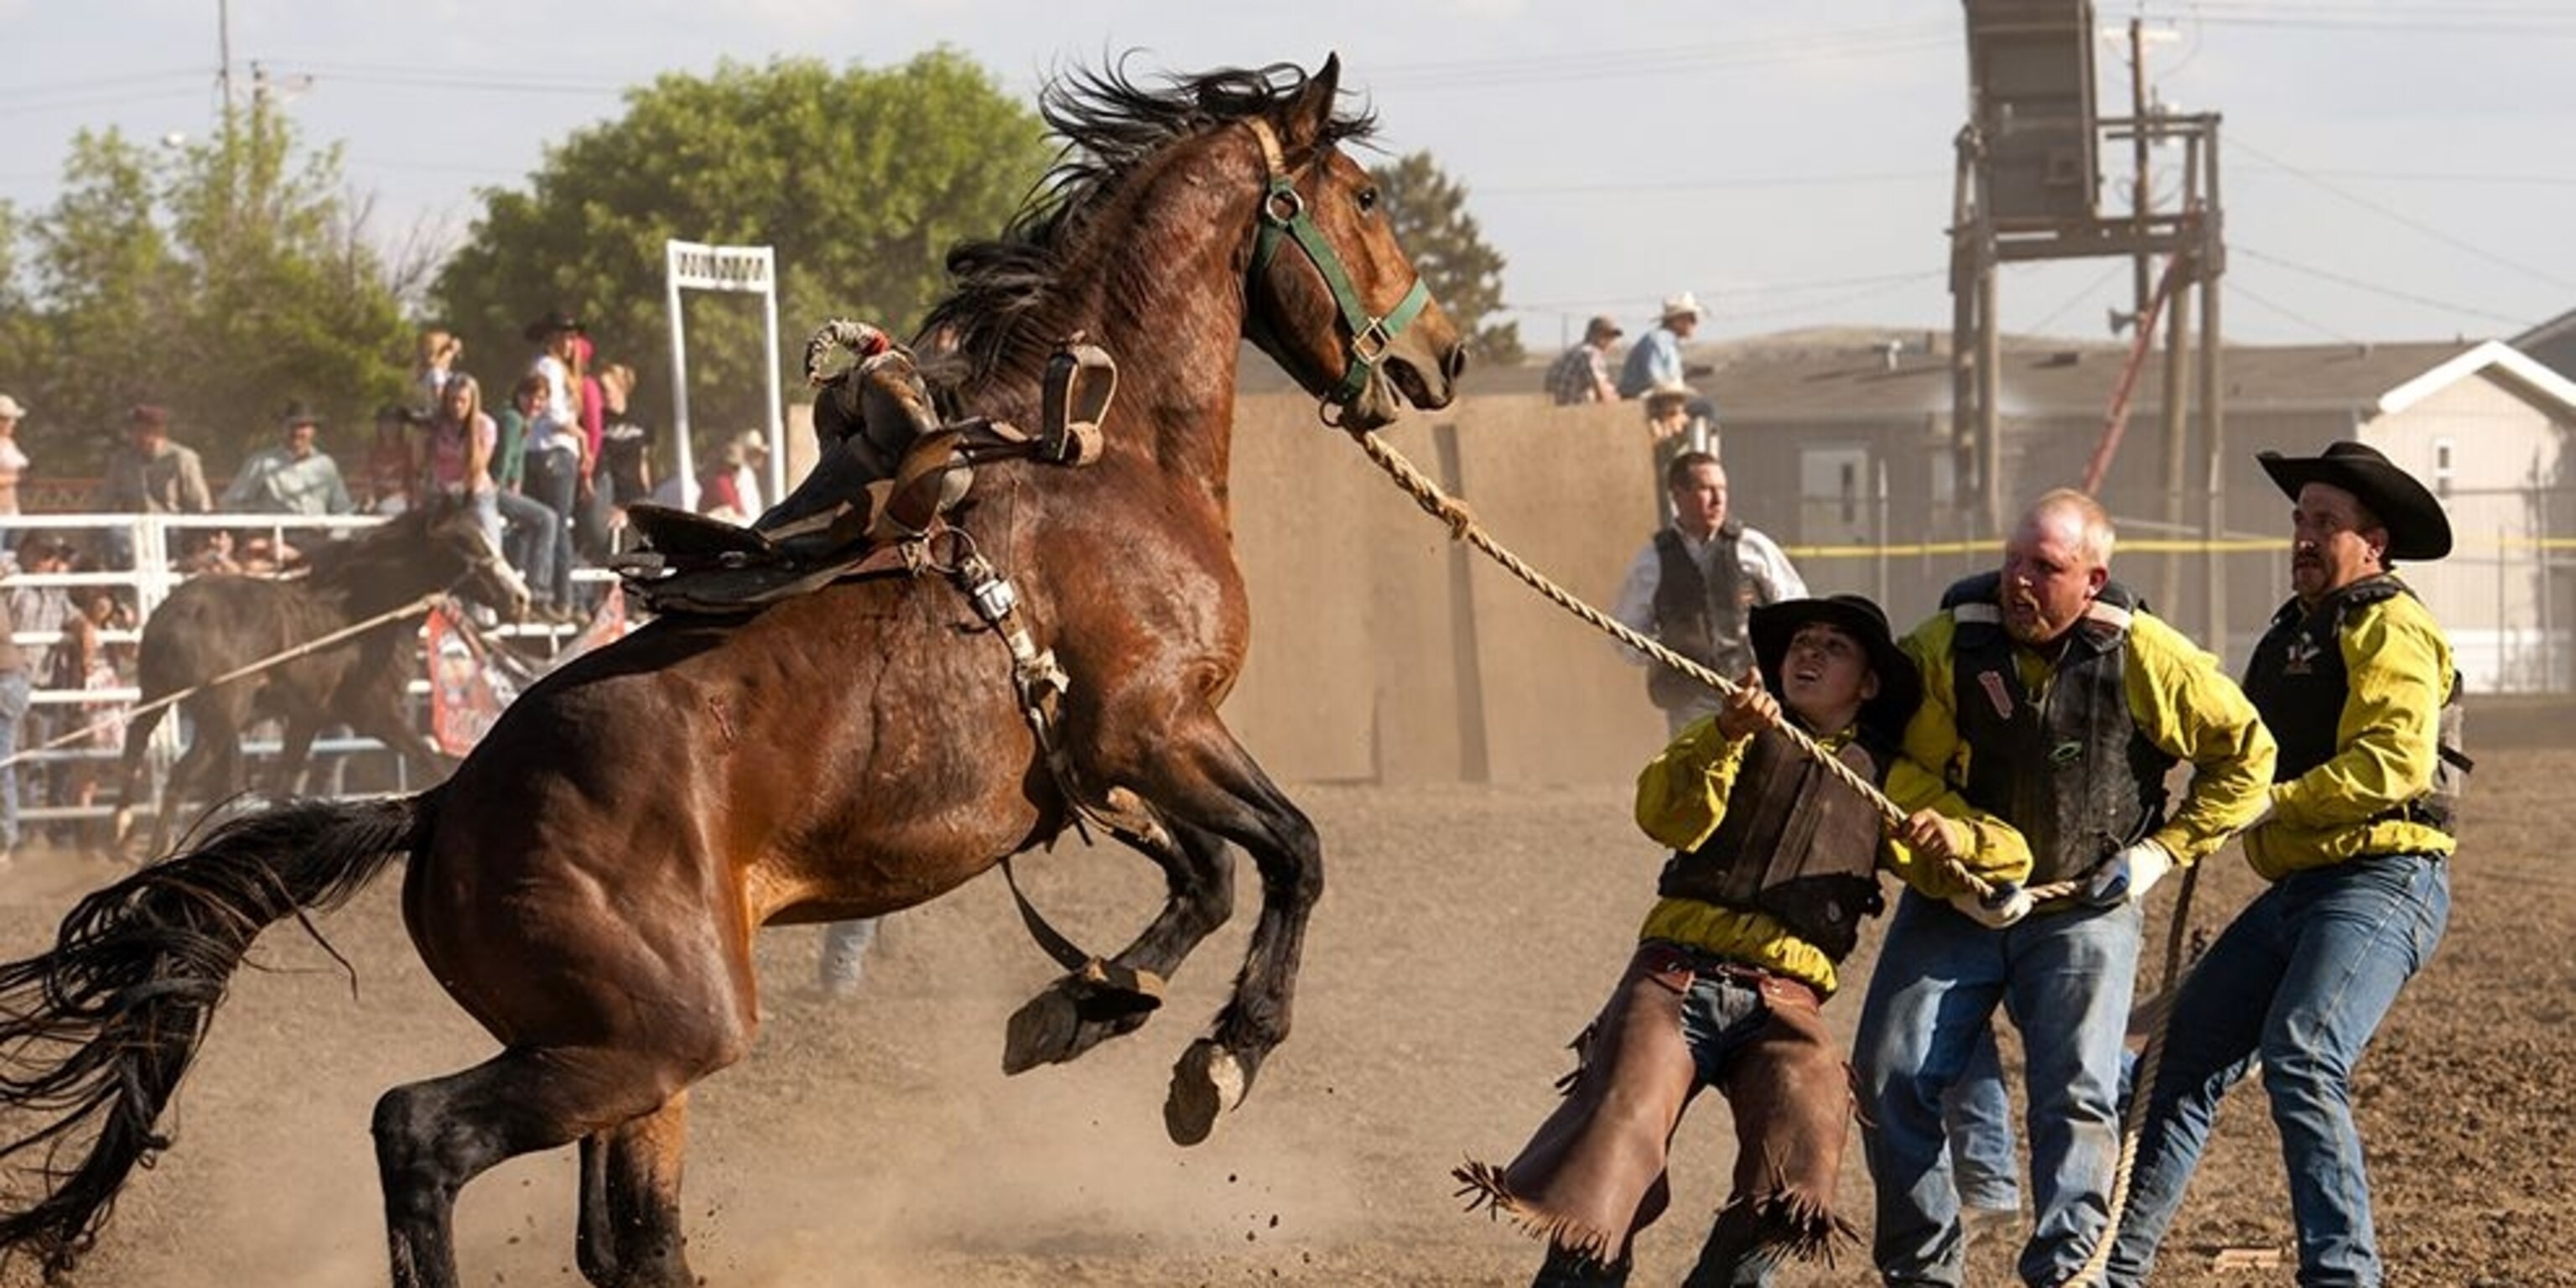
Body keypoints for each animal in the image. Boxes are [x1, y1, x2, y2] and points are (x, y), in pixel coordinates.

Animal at [110, 498, 533, 858]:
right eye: (463, 540)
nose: (520, 598)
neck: (363, 614)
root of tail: (173, 614)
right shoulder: (376, 716)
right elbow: (432, 762)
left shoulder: (306, 720)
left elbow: (282, 786)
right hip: (218, 719)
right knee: (179, 776)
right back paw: (153, 853)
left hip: (156, 699)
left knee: (133, 749)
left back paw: (123, 831)